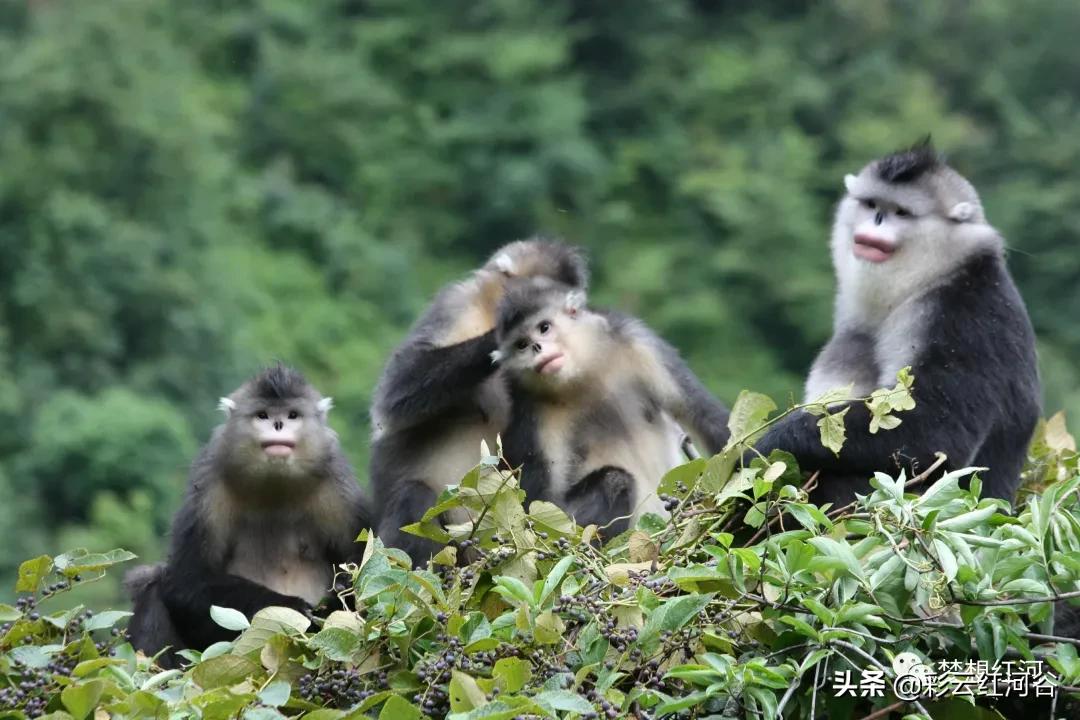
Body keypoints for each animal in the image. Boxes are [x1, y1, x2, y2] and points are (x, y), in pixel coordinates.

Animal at [125, 365, 371, 667]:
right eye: (262, 415)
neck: (275, 484)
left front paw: (336, 596)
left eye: (292, 415)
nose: (278, 425)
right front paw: (293, 607)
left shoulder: (338, 488)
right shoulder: (209, 485)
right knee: (152, 587)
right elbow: (187, 581)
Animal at [492, 277, 731, 536]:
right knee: (615, 480)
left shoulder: (637, 341)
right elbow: (537, 508)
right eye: (522, 344)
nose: (536, 347)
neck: (582, 379)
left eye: (544, 328)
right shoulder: (531, 411)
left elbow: (707, 418)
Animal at [749, 141, 1041, 507]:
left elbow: (937, 435)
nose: (876, 221)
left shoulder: (969, 316)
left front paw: (760, 449)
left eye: (900, 212)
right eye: (873, 204)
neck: (930, 278)